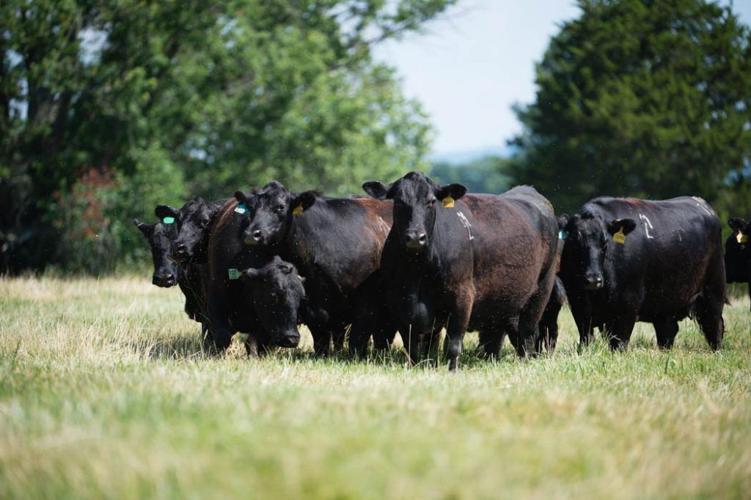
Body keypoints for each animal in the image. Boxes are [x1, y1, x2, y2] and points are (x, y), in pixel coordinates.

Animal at [233, 181, 394, 356]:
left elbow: (357, 340)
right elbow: (321, 341)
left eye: (280, 207)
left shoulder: (366, 304)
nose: (251, 234)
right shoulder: (312, 307)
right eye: (251, 207)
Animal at [362, 172, 560, 370]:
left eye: (431, 201)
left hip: (541, 290)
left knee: (527, 334)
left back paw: (524, 362)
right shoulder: (399, 301)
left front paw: (452, 371)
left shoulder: (462, 296)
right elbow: (412, 345)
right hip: (501, 298)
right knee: (496, 336)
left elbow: (453, 344)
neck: (418, 273)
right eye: (399, 201)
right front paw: (416, 367)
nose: (415, 237)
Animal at [558, 196, 725, 351]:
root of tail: (704, 206)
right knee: (668, 332)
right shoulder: (578, 302)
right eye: (573, 242)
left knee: (715, 326)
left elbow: (619, 343)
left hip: (713, 291)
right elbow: (585, 337)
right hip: (665, 305)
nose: (593, 279)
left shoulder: (628, 304)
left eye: (604, 242)